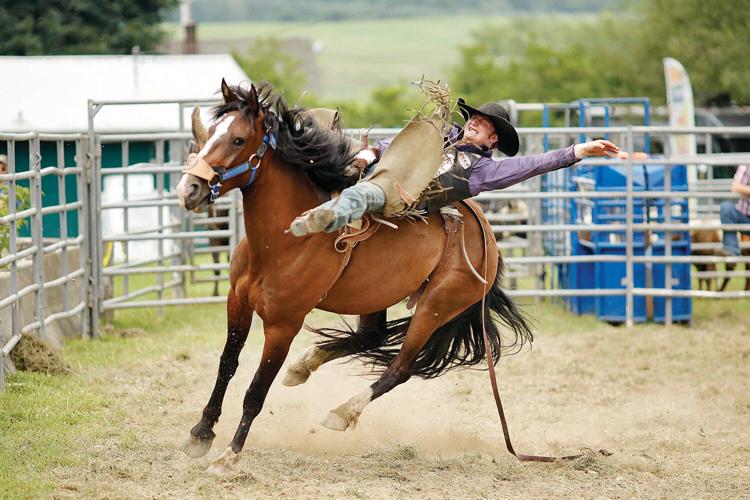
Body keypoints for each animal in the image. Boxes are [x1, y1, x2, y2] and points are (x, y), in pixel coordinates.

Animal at [175, 80, 532, 474]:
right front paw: (201, 433)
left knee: (400, 367)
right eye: (209, 134)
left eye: (238, 139)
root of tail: (489, 240)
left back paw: (342, 412)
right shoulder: (236, 302)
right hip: (376, 294)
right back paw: (304, 366)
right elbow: (227, 365)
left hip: (437, 306)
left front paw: (229, 455)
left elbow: (256, 389)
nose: (189, 189)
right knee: (372, 337)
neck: (278, 244)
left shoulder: (284, 324)